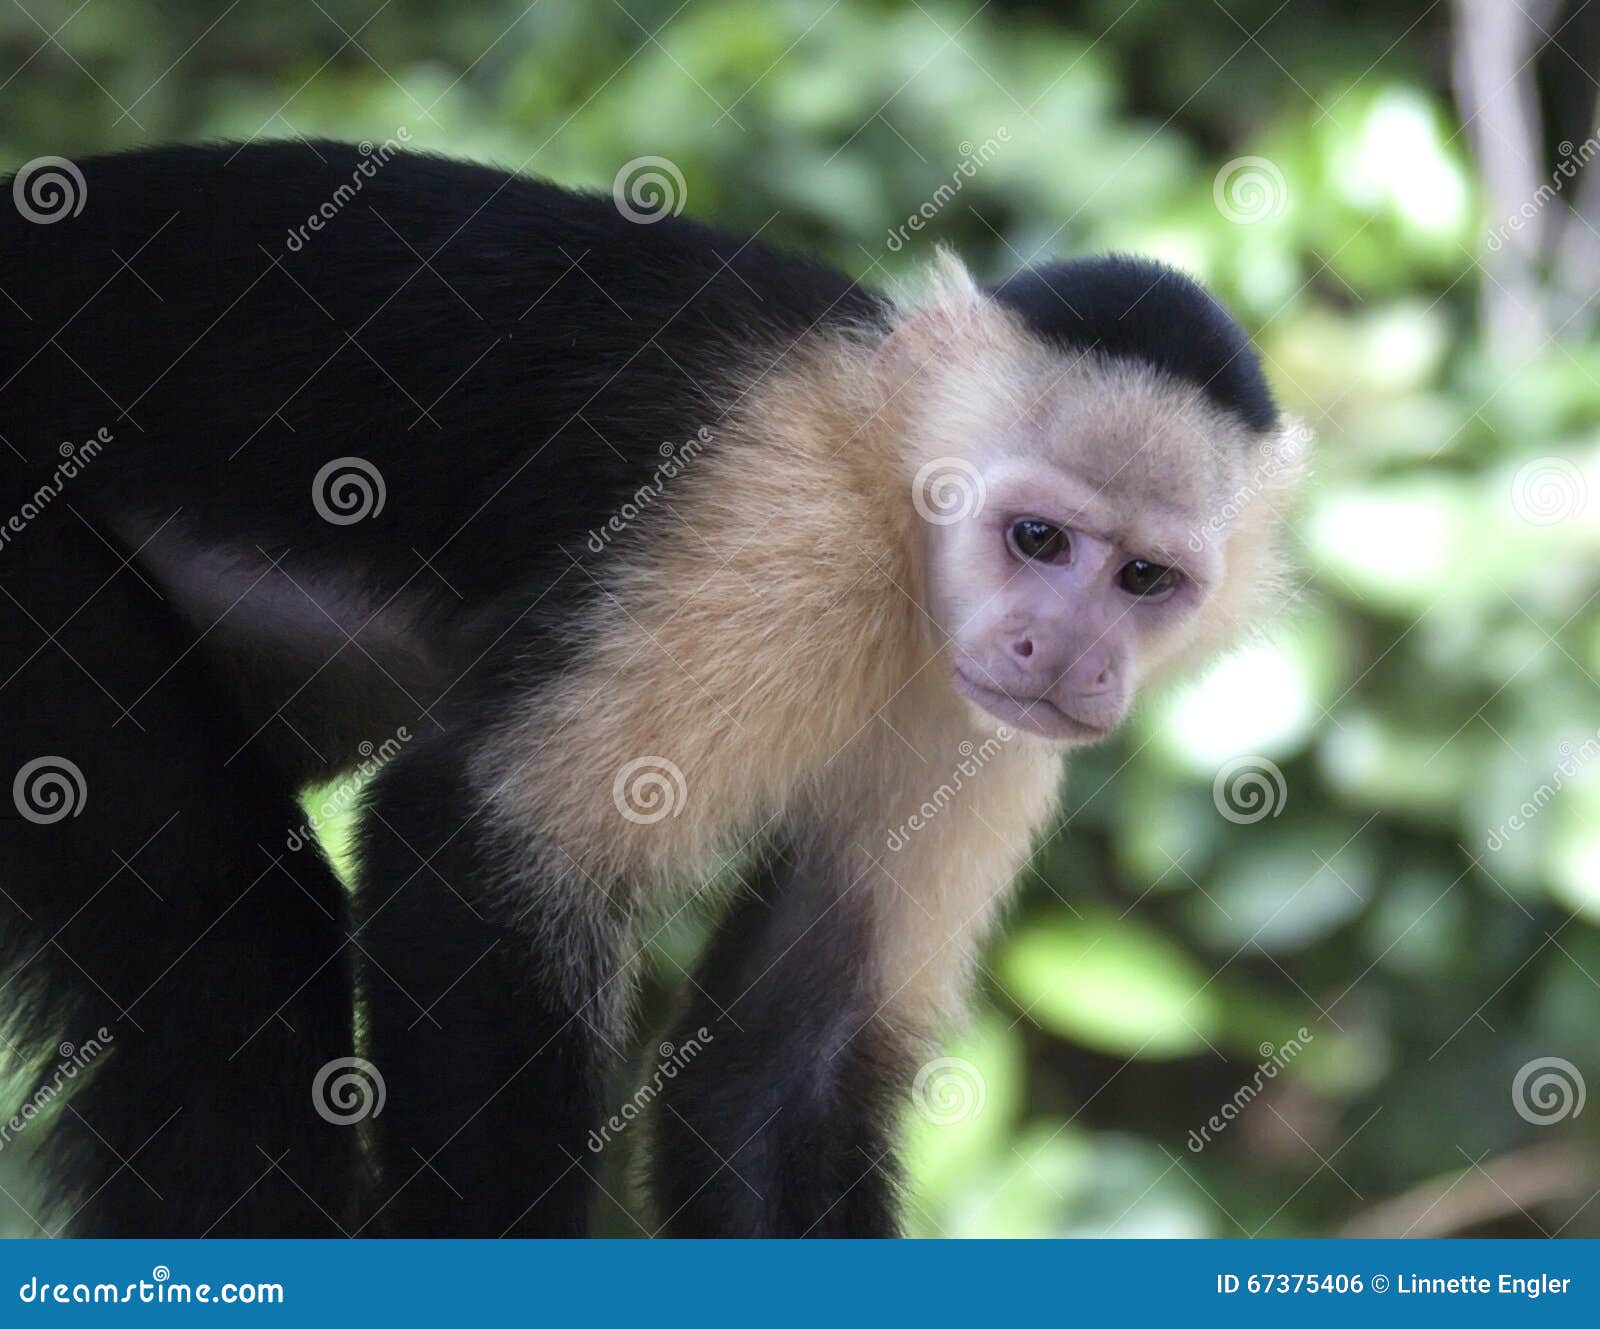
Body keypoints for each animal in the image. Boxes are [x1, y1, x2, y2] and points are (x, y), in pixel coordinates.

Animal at [0, 141, 1305, 1238]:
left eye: (1143, 579)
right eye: (1036, 538)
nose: (1062, 653)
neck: (890, 504)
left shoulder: (973, 722)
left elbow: (779, 1067)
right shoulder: (784, 530)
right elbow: (475, 843)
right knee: (223, 937)